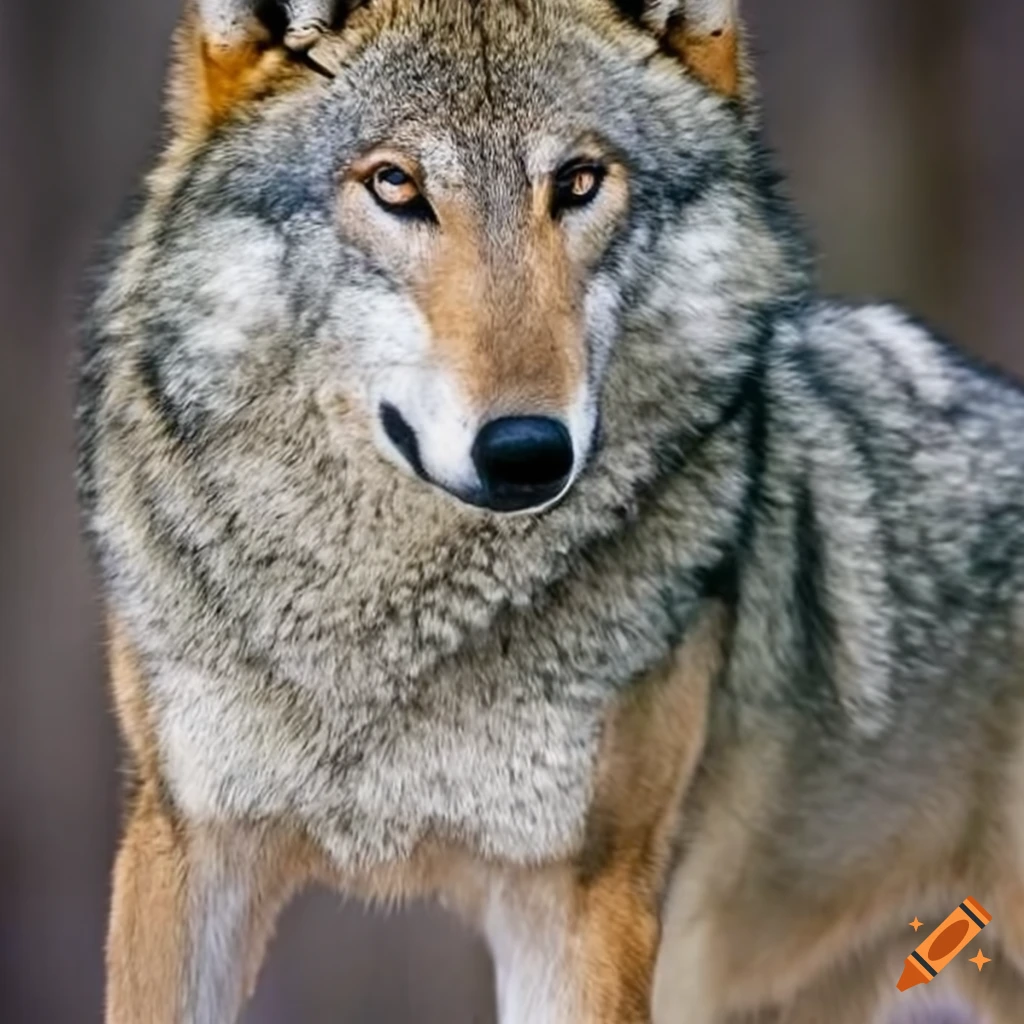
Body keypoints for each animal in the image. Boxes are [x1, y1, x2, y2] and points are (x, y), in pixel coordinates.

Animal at [77, 0, 1024, 1021]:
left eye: (577, 183)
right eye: (396, 184)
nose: (527, 450)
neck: (378, 648)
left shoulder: (580, 896)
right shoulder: (186, 843)